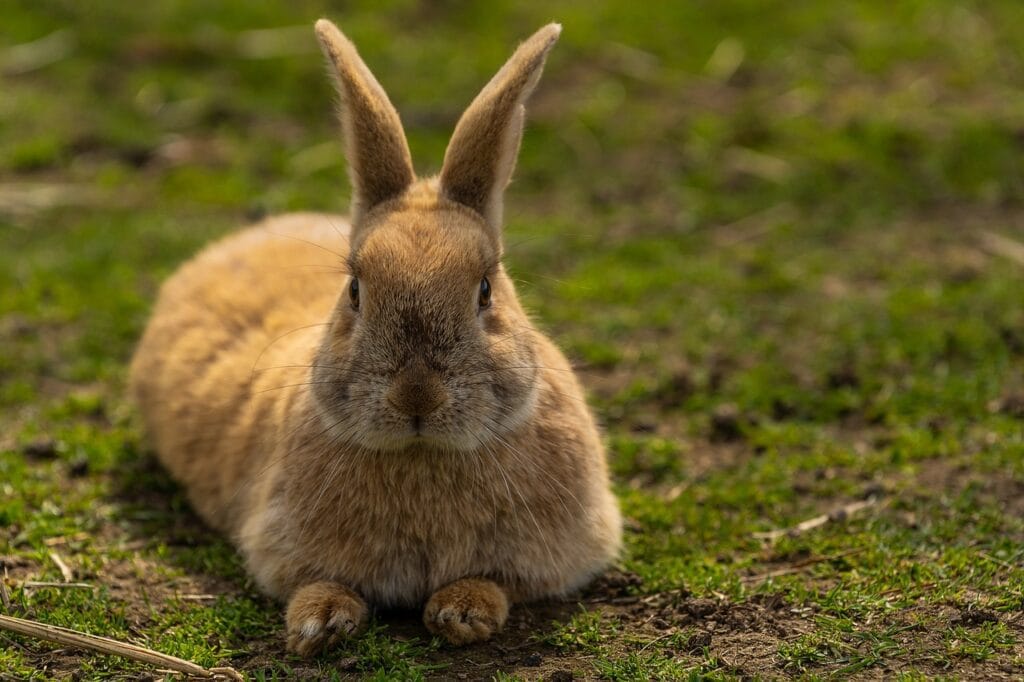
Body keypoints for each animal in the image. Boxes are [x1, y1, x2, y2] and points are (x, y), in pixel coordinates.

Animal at [129, 19, 622, 656]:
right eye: (356, 291)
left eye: (485, 290)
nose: (416, 397)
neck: (422, 455)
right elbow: (317, 583)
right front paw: (318, 623)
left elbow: (497, 583)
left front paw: (463, 611)